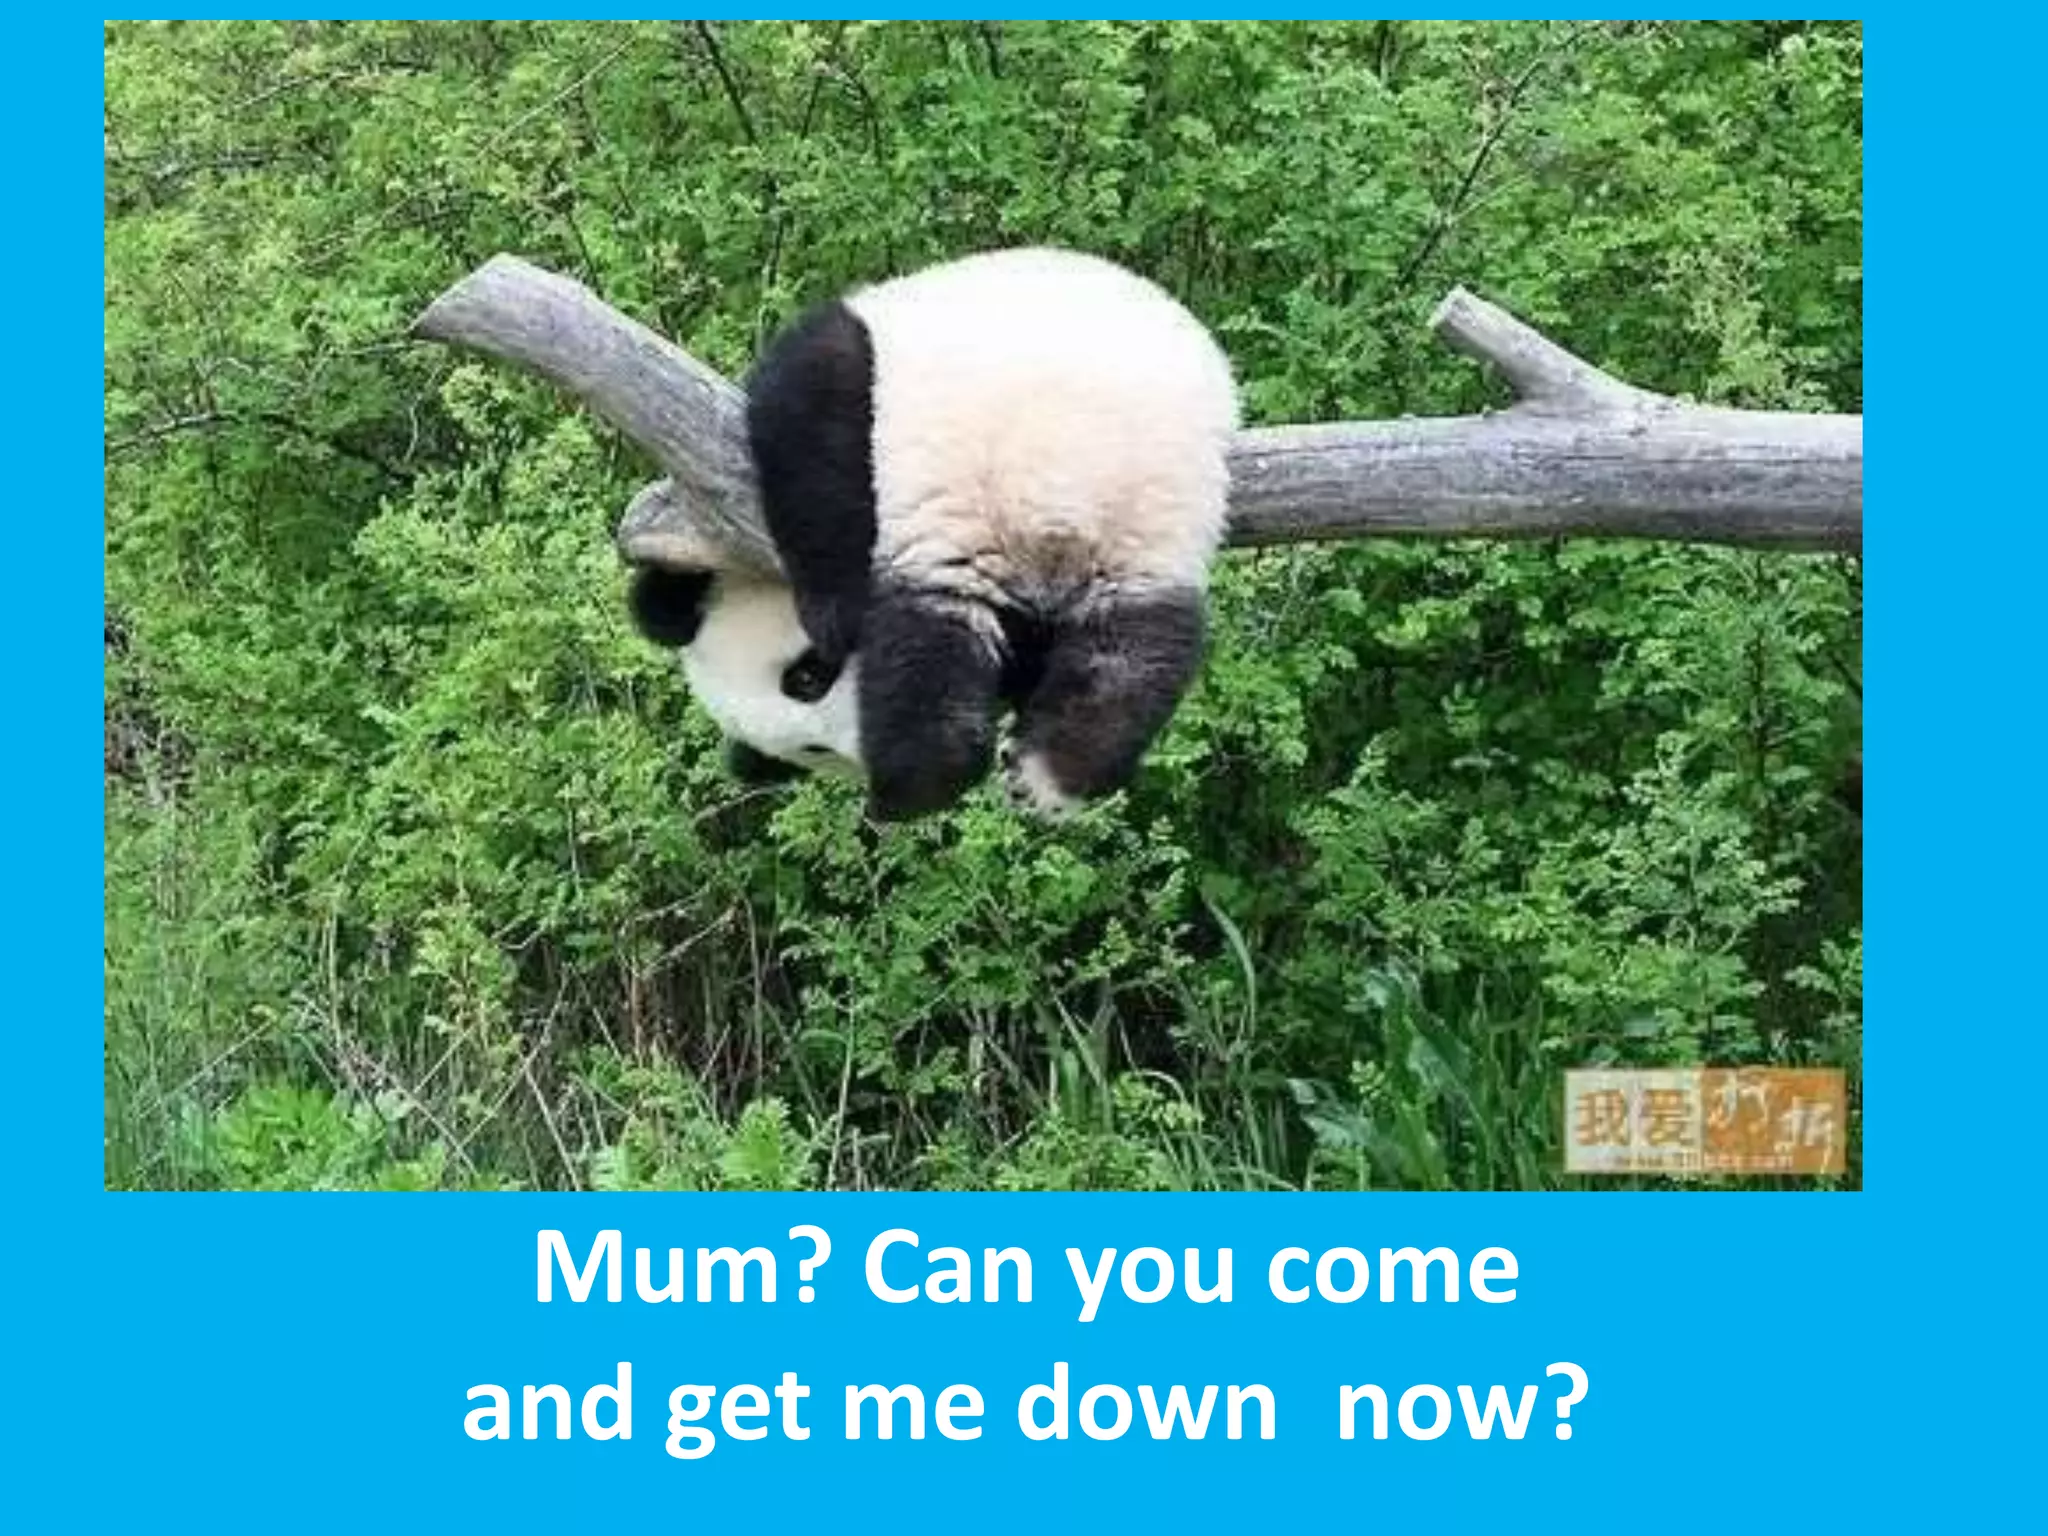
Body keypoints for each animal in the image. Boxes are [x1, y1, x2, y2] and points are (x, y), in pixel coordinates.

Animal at [628, 246, 1239, 821]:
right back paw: (1050, 772)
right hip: (1142, 538)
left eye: (807, 677)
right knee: (1129, 654)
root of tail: (1062, 498)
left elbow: (810, 434)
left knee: (928, 660)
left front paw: (832, 613)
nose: (866, 746)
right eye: (814, 750)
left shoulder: (837, 360)